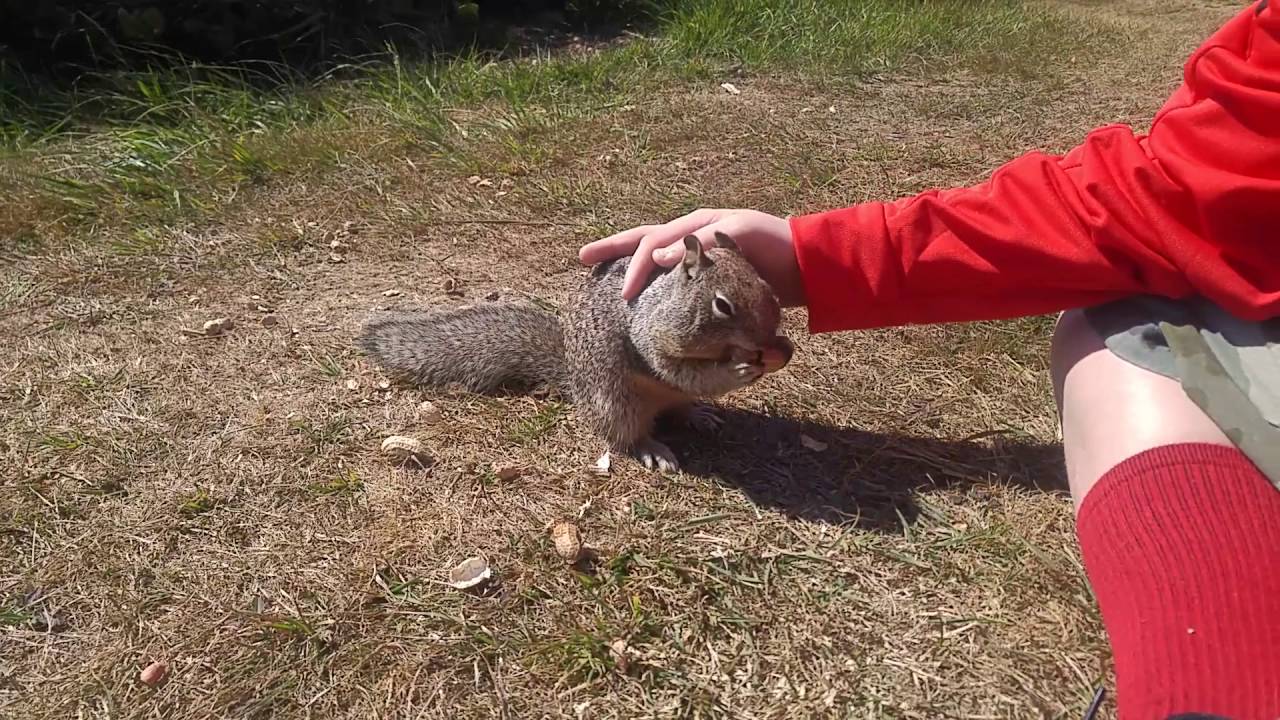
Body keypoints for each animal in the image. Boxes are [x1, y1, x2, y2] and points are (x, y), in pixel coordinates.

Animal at [356, 232, 794, 472]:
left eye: (767, 286)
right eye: (722, 305)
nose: (767, 341)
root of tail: (574, 381)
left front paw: (782, 350)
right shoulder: (649, 340)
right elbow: (679, 371)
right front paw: (738, 369)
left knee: (679, 407)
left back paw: (698, 414)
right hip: (616, 403)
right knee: (625, 436)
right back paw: (650, 447)